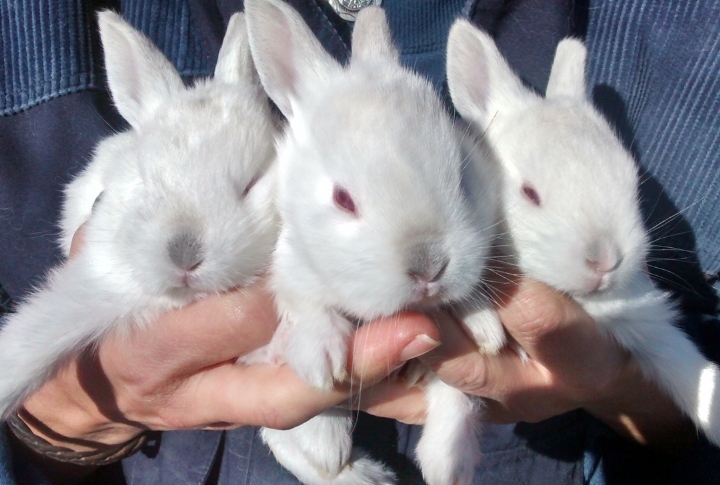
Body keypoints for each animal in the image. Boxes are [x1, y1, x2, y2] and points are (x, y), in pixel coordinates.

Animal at [243, 1, 502, 484]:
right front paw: (322, 363)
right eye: (342, 200)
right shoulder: (291, 267)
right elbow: (305, 306)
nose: (429, 267)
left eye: (463, 176)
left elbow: (458, 384)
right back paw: (341, 460)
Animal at [446, 19, 720, 448]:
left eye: (629, 180)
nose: (605, 260)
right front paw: (486, 329)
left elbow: (687, 368)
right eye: (529, 193)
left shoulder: (644, 322)